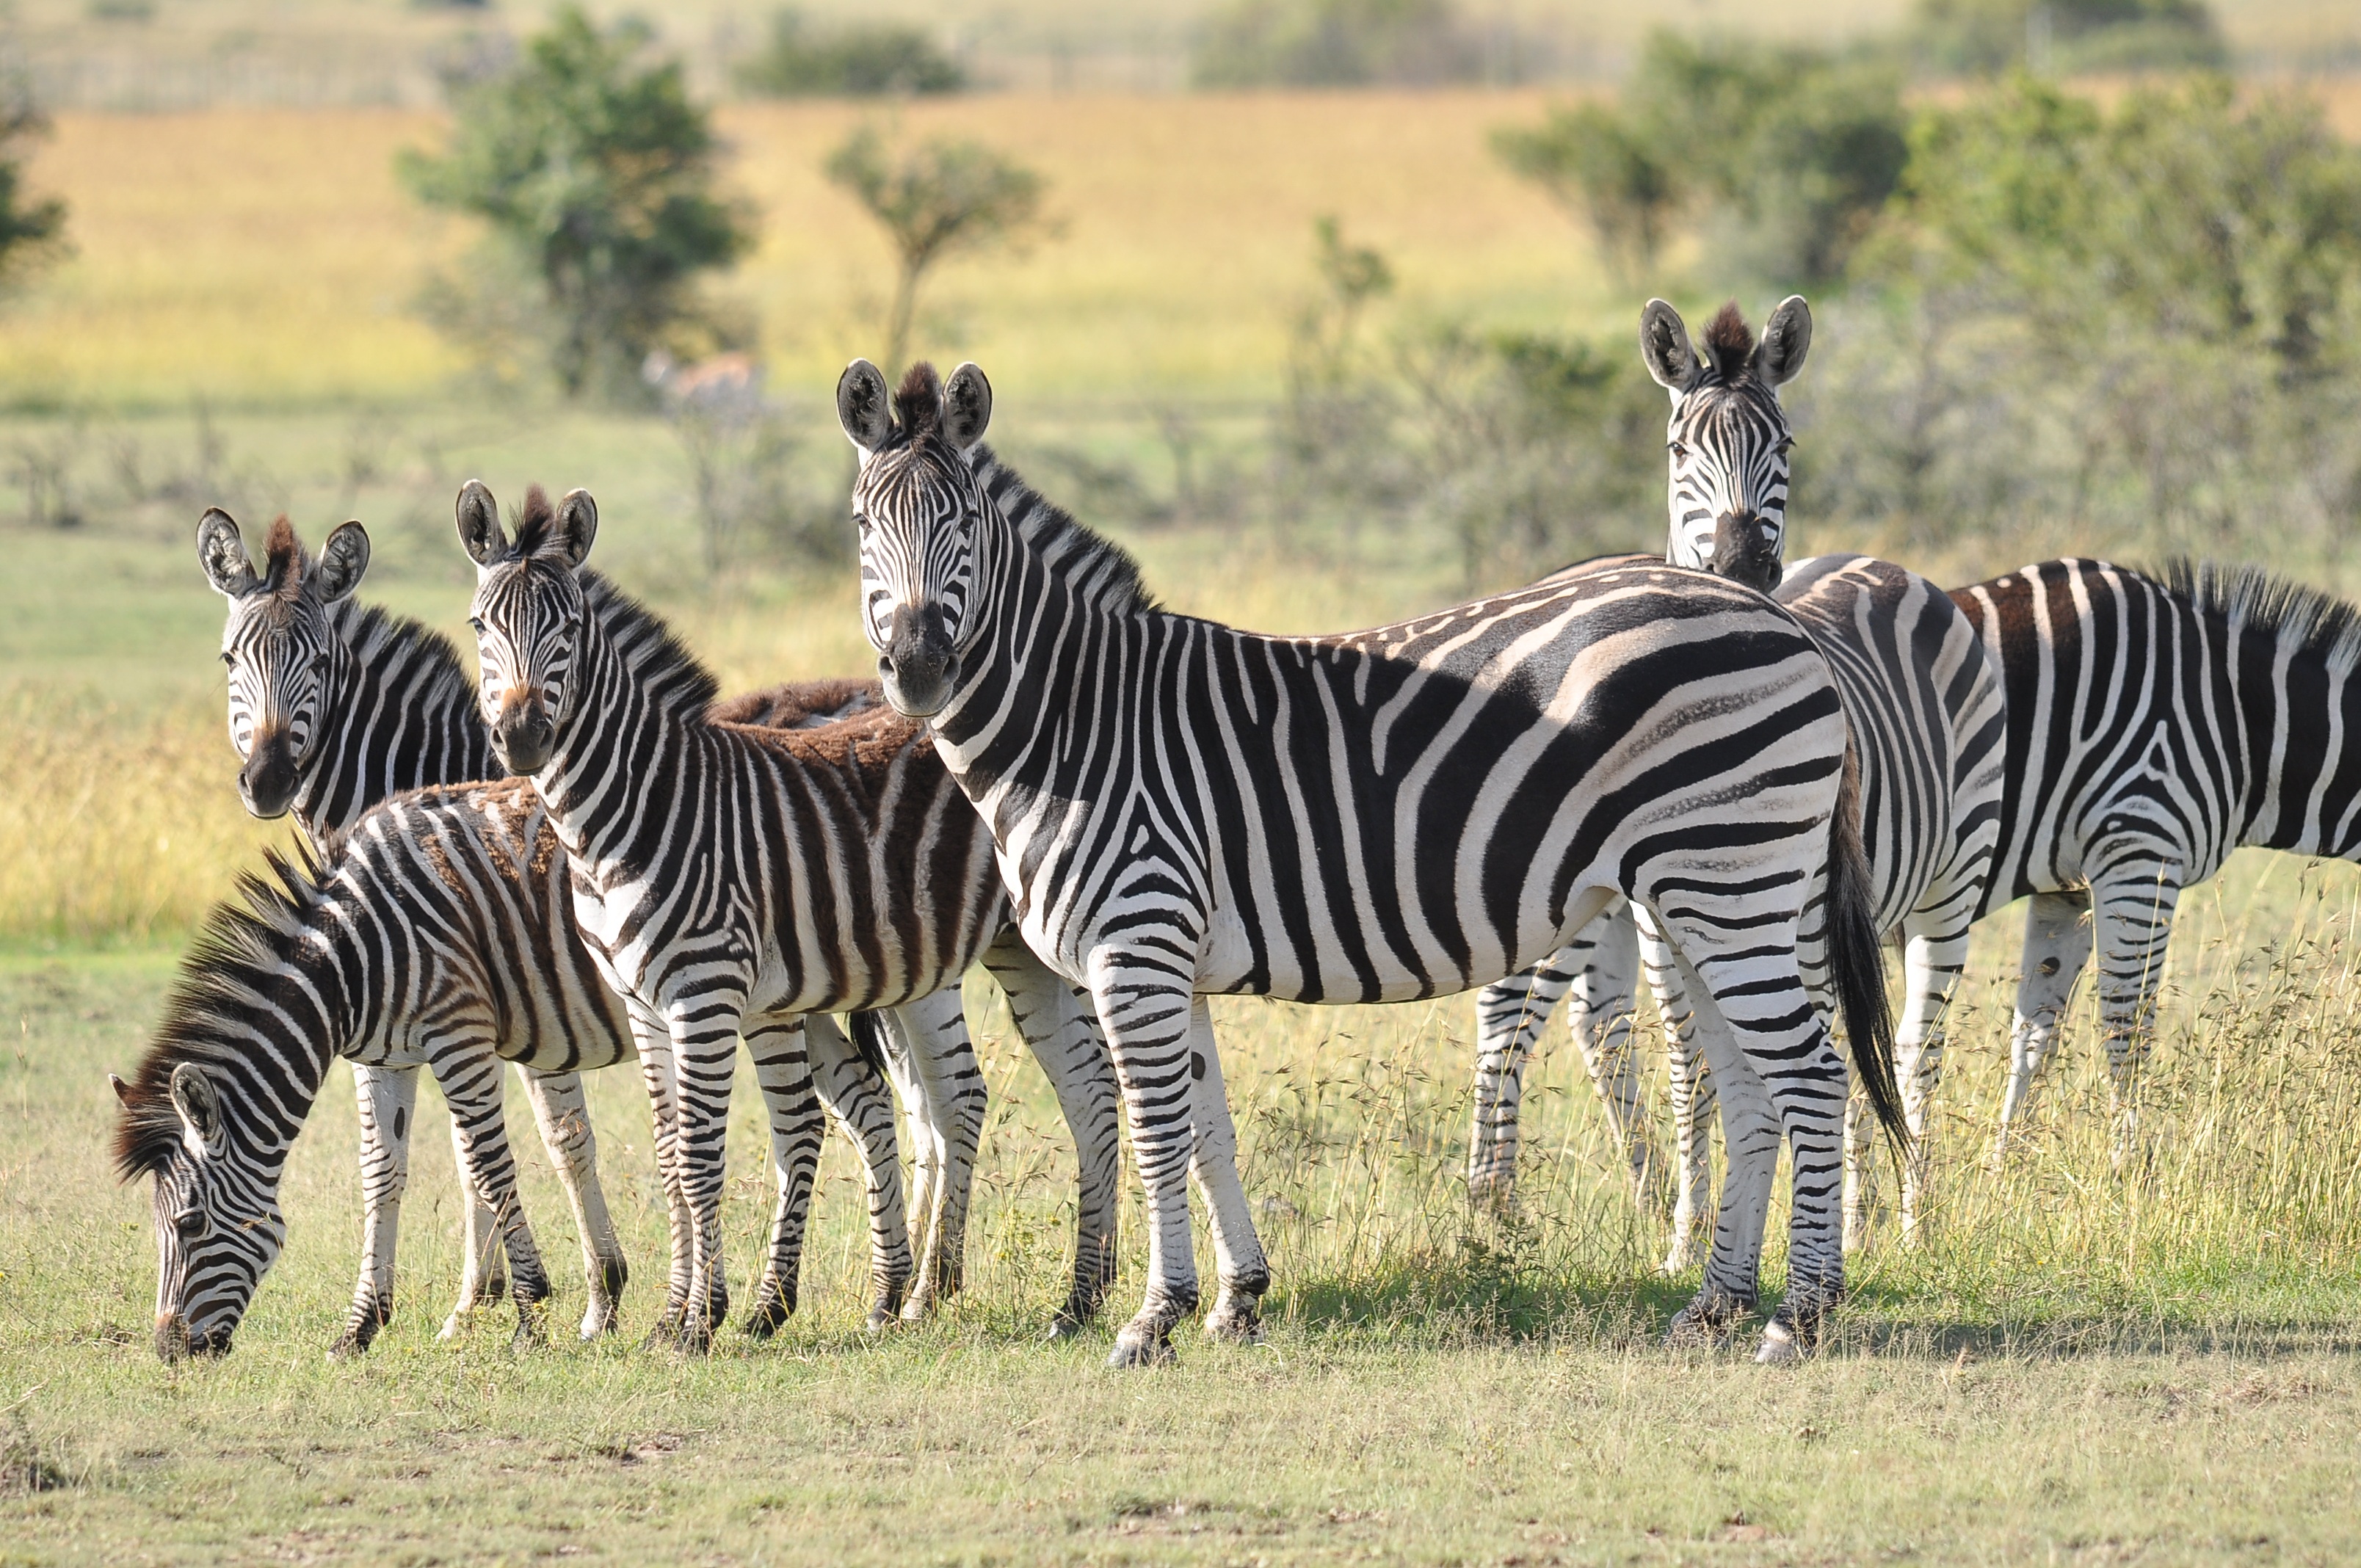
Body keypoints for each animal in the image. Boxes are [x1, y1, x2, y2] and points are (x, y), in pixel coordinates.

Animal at [455, 481, 1123, 1351]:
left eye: (568, 626)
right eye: (480, 625)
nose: (523, 737)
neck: (628, 811)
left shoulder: (704, 994)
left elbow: (701, 1156)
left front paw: (699, 1324)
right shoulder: (643, 1004)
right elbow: (668, 1156)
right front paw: (671, 1316)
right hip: (1016, 950)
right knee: (1083, 1084)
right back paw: (1077, 1295)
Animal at [835, 358, 1901, 1364]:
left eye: (963, 522)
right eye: (859, 523)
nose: (920, 667)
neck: (1076, 722)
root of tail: (1775, 615)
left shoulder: (1136, 944)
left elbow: (1157, 1132)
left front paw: (1151, 1319)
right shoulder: (1177, 960)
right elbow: (1209, 1131)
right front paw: (1235, 1302)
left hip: (1733, 879)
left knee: (1813, 1078)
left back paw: (1799, 1316)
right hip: (1699, 897)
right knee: (1755, 1088)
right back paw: (1715, 1304)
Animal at [1465, 299, 2008, 1256]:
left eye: (1783, 443)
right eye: (1680, 447)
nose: (1743, 563)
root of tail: (1883, 564)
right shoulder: (1660, 925)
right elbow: (1694, 1068)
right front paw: (1690, 1234)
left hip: (1946, 888)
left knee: (1914, 1050)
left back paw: (1903, 1220)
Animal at [1957, 559, 2361, 1165]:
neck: (2241, 726)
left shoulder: (2066, 888)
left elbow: (2036, 1034)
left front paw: (2006, 1170)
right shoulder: (2140, 851)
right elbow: (2127, 1028)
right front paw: (2128, 1173)